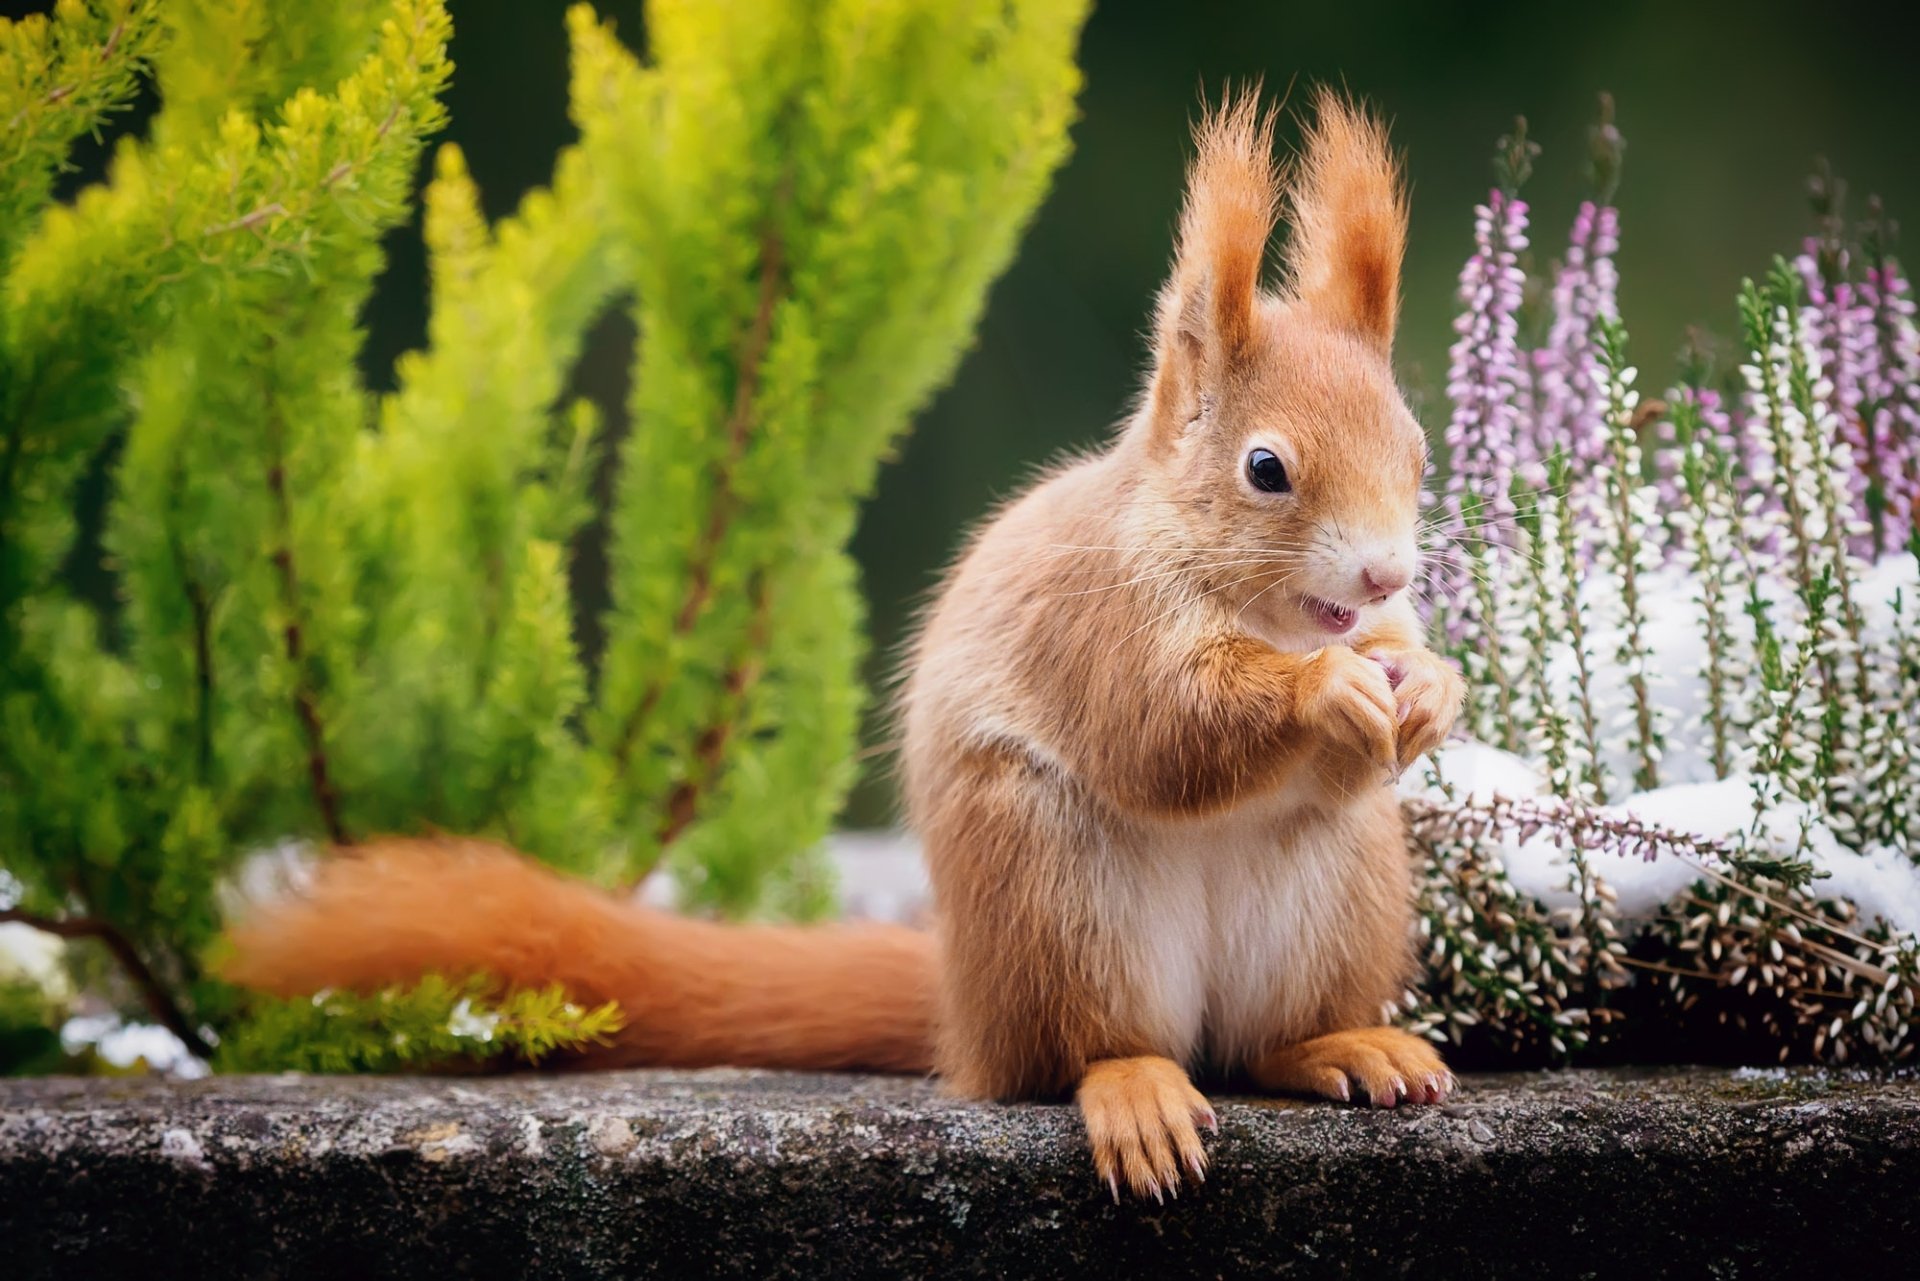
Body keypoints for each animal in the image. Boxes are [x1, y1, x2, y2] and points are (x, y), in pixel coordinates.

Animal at [220, 88, 1465, 1203]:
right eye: (1266, 470)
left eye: (1414, 450)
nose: (1385, 574)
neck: (1258, 607)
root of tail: (964, 1010)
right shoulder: (1096, 624)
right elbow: (1165, 730)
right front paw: (1326, 691)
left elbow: (1377, 684)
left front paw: (1428, 690)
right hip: (1051, 892)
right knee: (1081, 1054)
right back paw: (1137, 1091)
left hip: (1341, 897)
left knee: (1258, 1045)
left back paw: (1343, 1047)